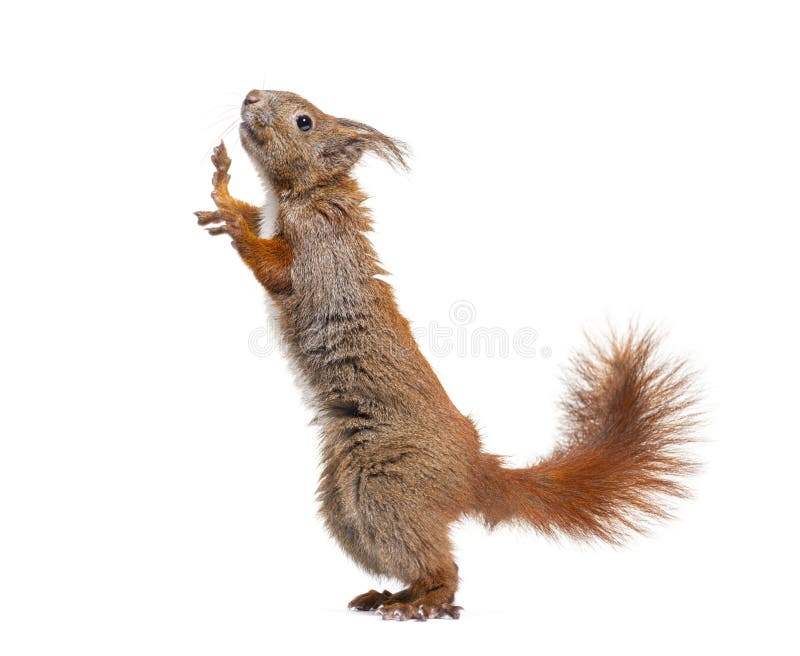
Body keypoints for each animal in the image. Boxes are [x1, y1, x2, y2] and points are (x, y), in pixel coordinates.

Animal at [194, 89, 699, 621]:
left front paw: (230, 214)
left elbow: (274, 270)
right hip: (344, 504)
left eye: (304, 121)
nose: (250, 95)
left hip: (385, 484)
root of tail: (473, 472)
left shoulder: (321, 251)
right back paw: (391, 595)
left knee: (443, 566)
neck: (294, 196)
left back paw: (425, 602)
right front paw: (226, 196)